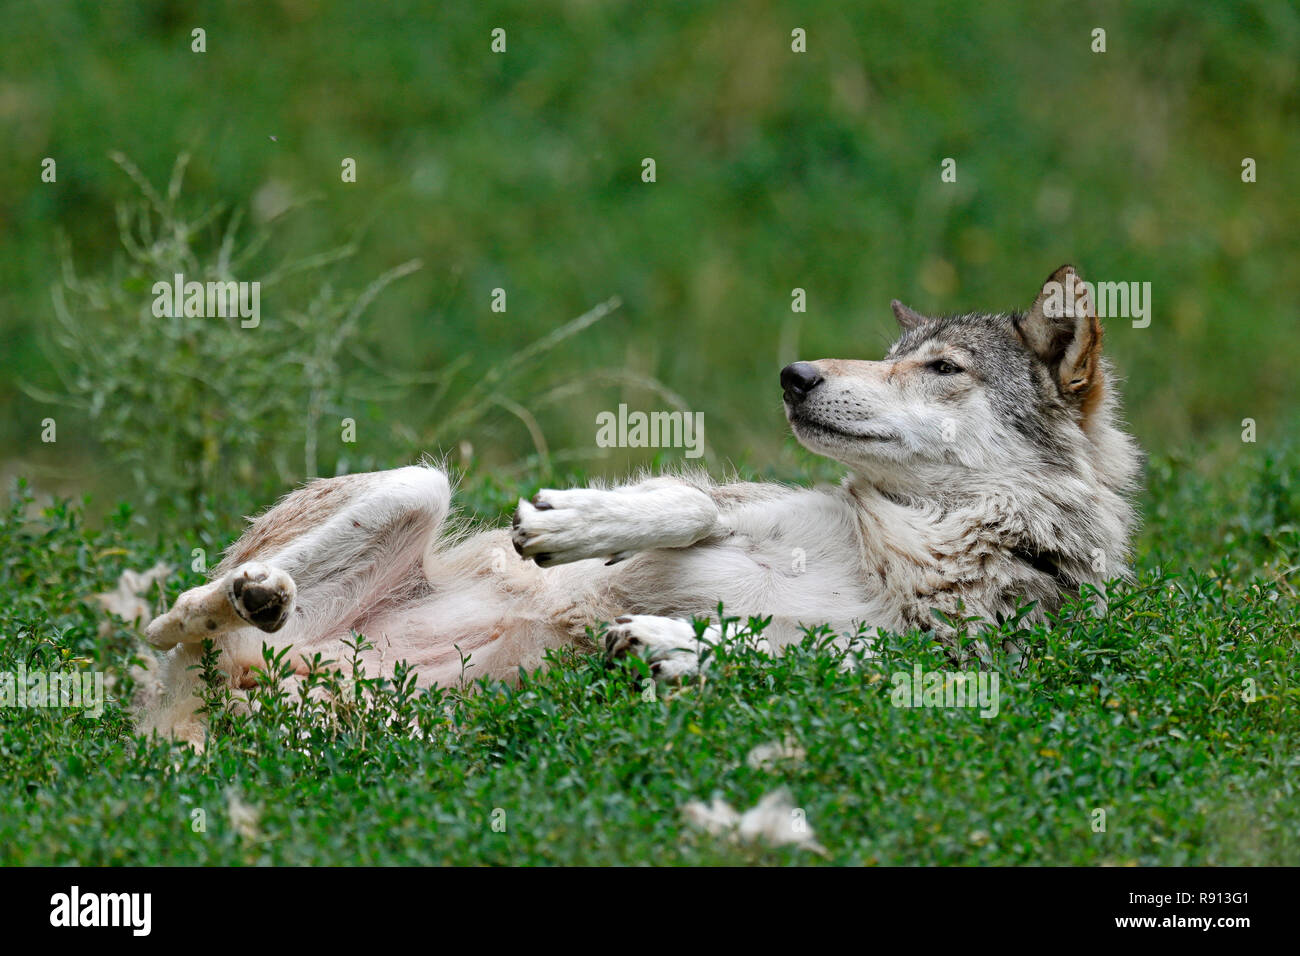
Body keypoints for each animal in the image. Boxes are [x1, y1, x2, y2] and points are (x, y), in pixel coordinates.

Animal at [139, 265, 1141, 745]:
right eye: (890, 353)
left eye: (940, 367)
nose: (794, 375)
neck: (915, 544)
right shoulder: (736, 501)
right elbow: (686, 506)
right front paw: (574, 527)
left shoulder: (944, 673)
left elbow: (796, 657)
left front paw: (666, 644)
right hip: (422, 484)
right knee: (169, 616)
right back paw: (250, 596)